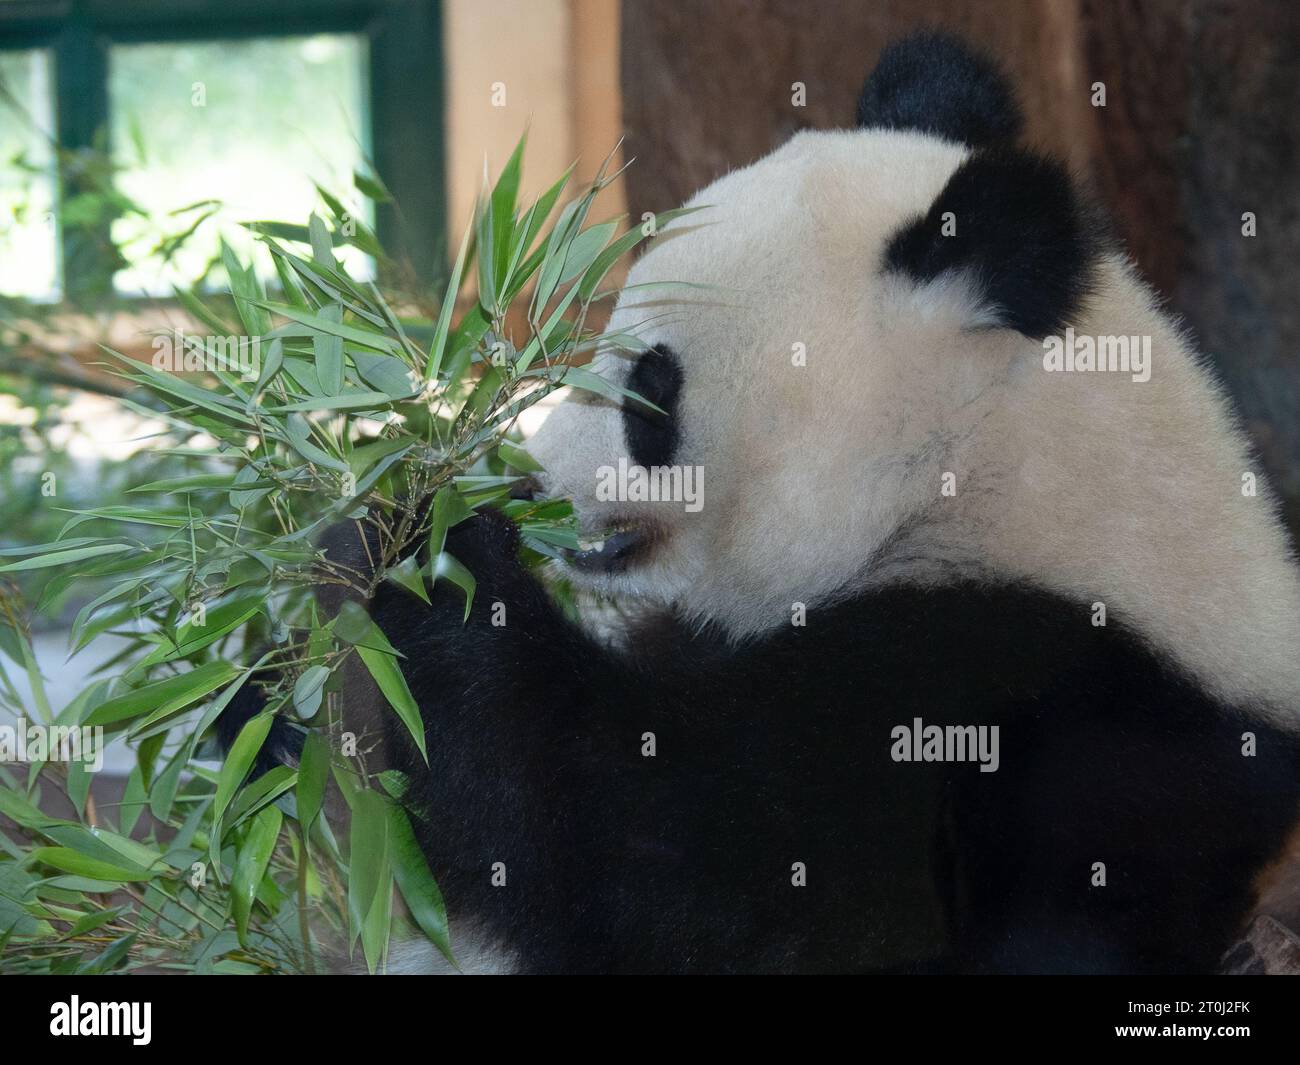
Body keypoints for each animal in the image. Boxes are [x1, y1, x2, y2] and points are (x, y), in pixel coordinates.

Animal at [323, 31, 1300, 974]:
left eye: (650, 395)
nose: (531, 476)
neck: (973, 469)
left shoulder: (1023, 682)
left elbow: (681, 860)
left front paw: (419, 537)